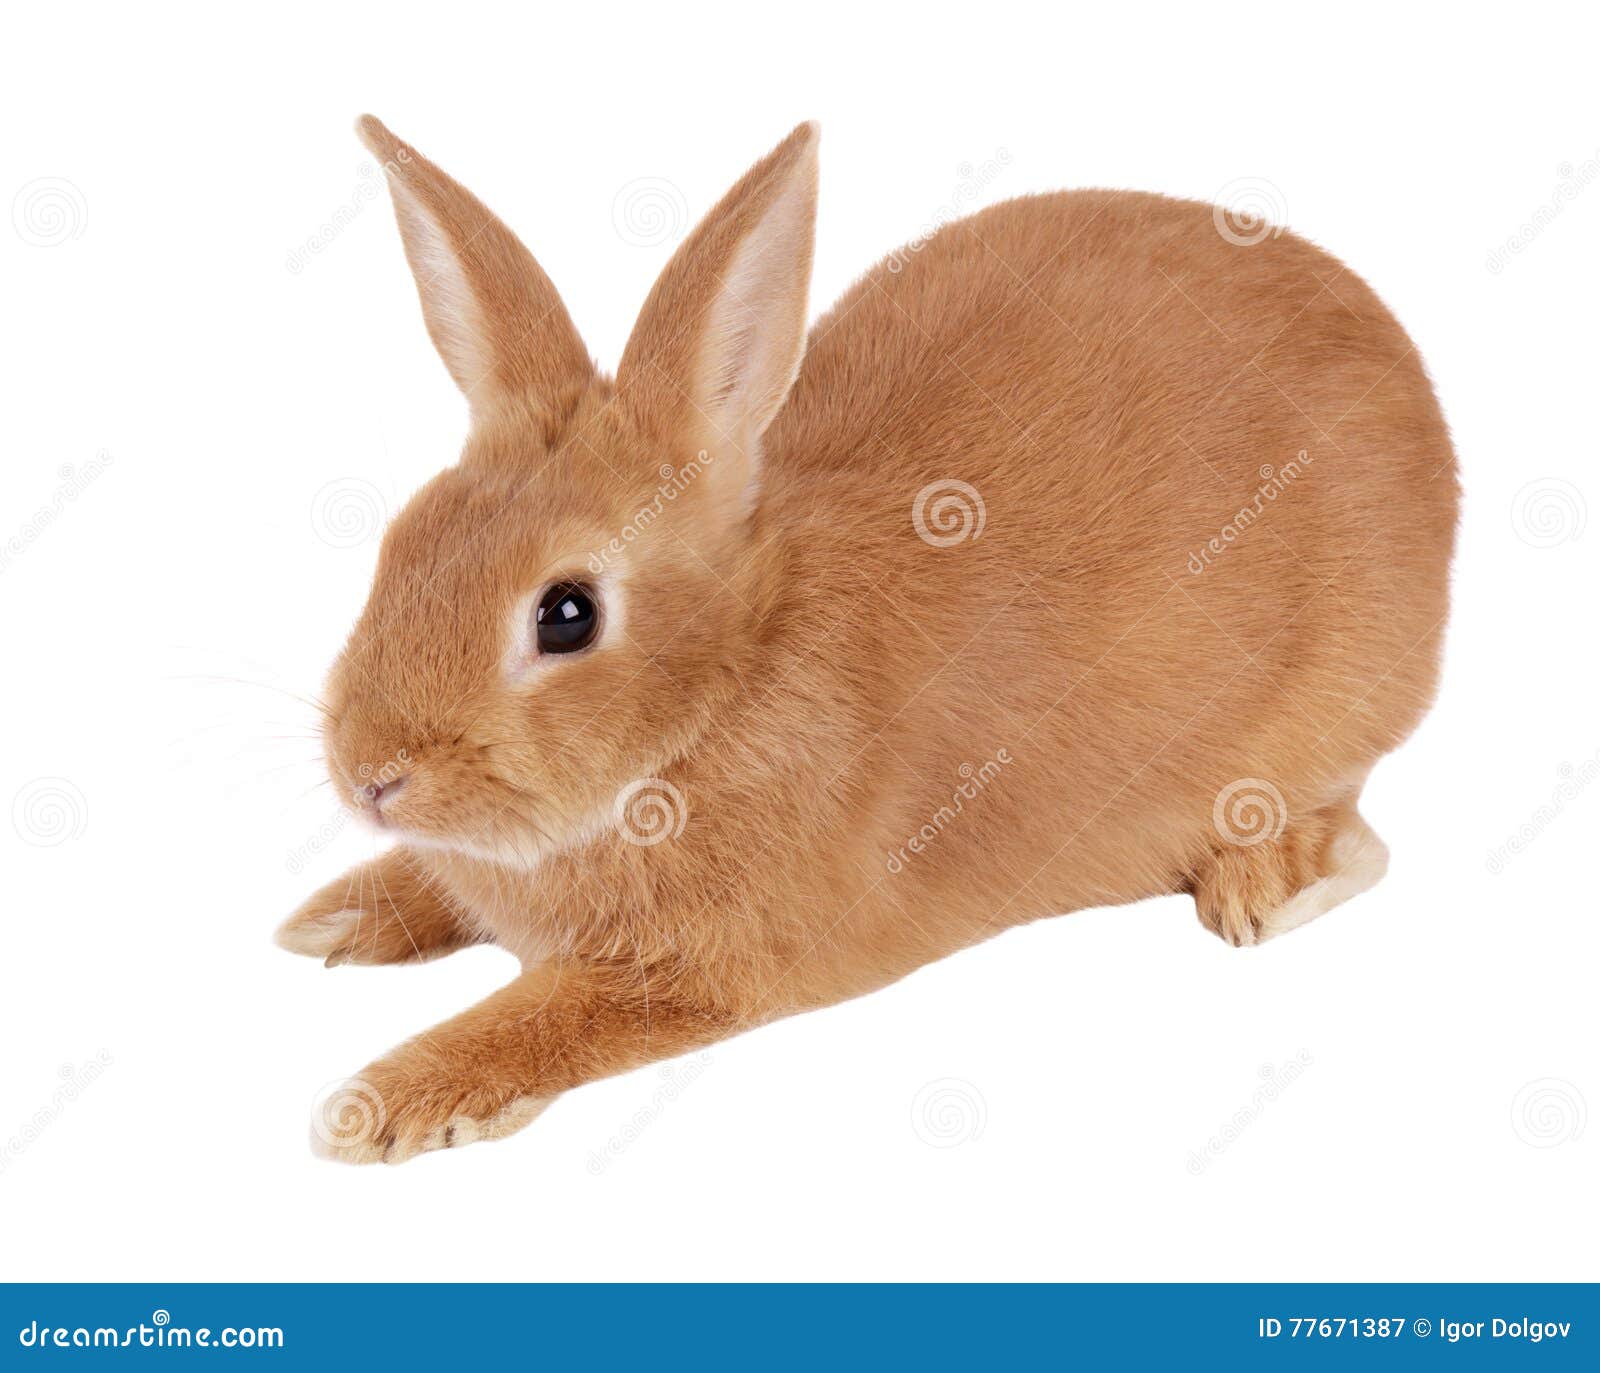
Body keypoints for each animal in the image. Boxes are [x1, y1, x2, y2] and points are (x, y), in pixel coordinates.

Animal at [278, 116, 1458, 1162]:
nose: (371, 777)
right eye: (401, 540)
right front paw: (333, 919)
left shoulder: (709, 968)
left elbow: (548, 1014)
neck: (722, 695)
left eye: (566, 613)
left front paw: (386, 1103)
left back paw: (1271, 887)